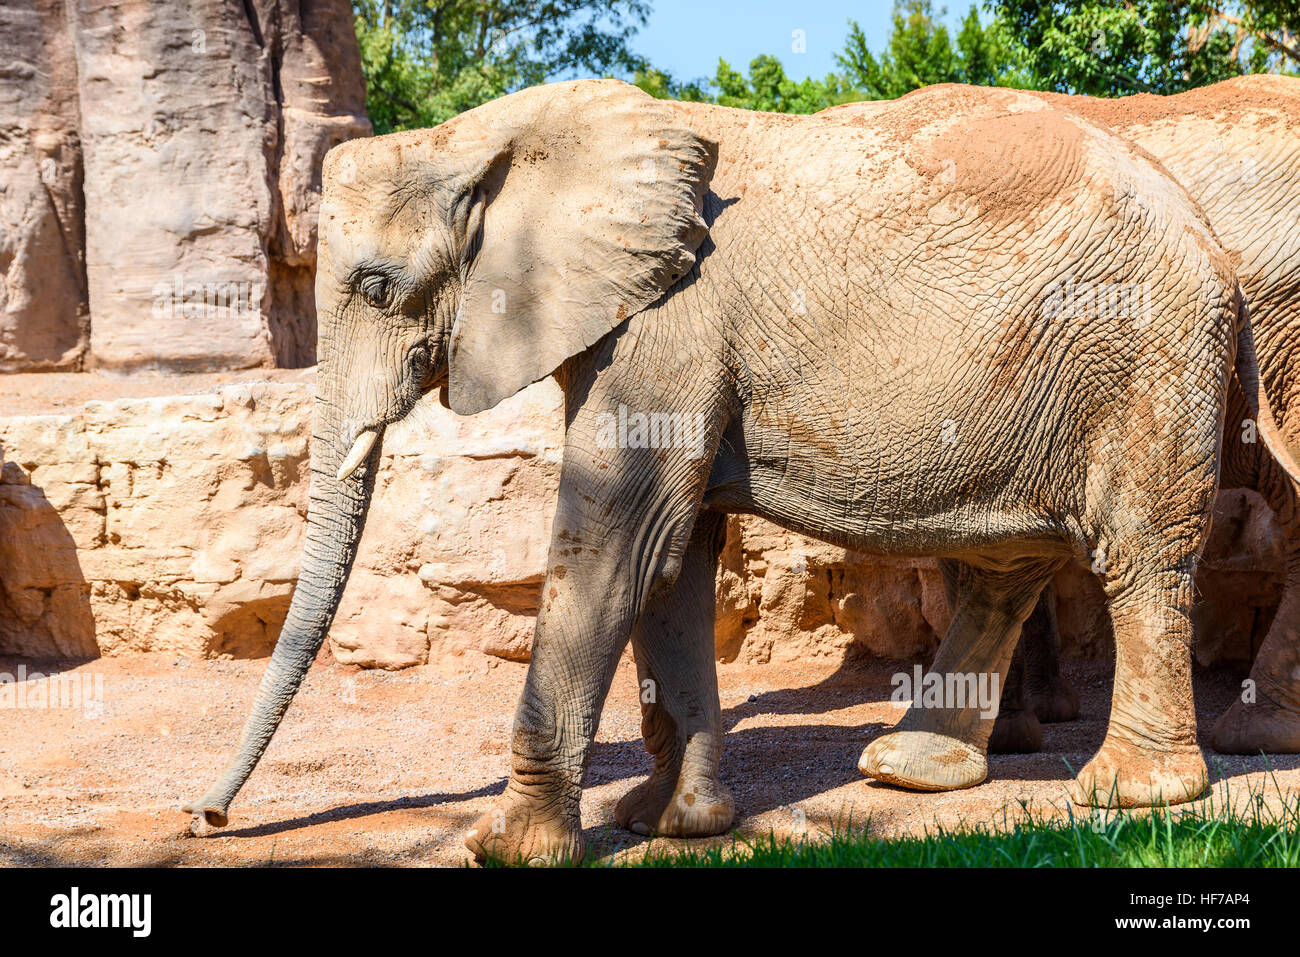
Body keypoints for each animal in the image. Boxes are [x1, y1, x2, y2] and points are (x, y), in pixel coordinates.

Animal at [184, 78, 1296, 864]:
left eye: (378, 287)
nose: (207, 819)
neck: (502, 135)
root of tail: (1208, 241)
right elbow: (673, 557)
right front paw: (669, 822)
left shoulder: (669, 325)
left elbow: (619, 538)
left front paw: (510, 849)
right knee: (1007, 563)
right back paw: (911, 769)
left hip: (1141, 354)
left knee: (1136, 556)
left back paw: (1129, 794)